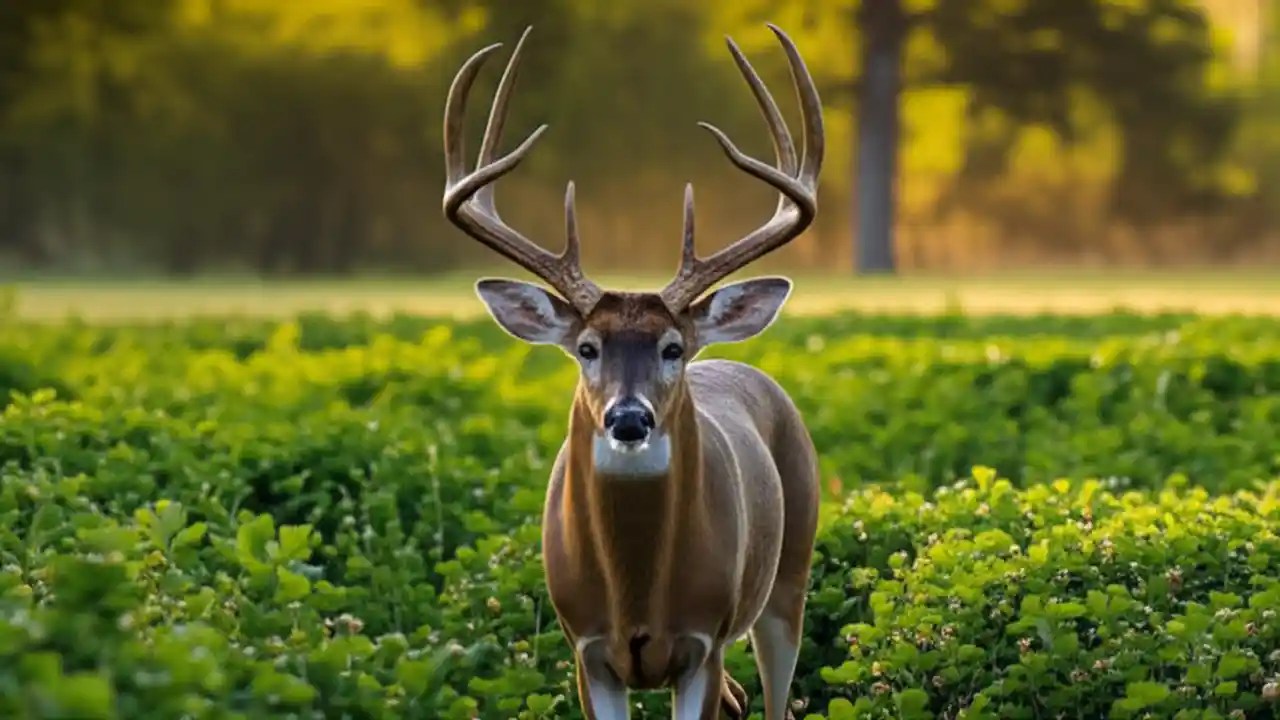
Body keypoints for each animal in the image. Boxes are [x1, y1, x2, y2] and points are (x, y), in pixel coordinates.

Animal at [442, 23, 823, 720]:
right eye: (587, 348)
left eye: (673, 347)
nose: (627, 418)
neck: (636, 595)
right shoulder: (586, 651)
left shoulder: (704, 641)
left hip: (790, 575)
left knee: (775, 694)